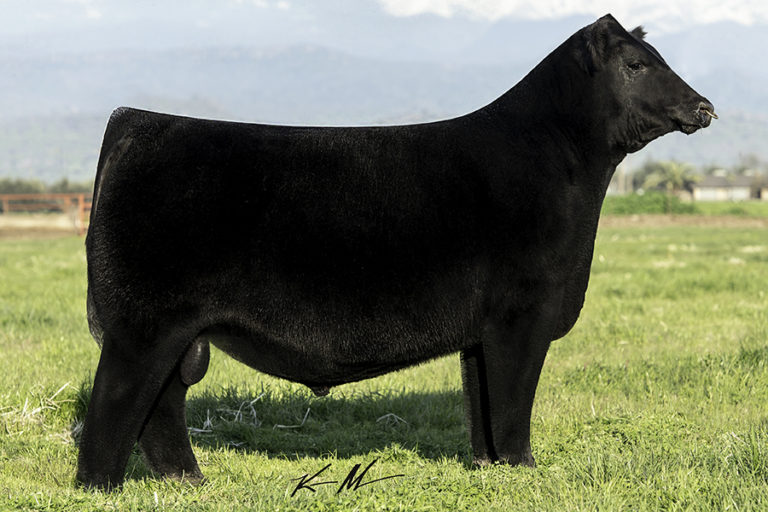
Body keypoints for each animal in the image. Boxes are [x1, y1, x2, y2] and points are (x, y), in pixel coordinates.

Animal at [76, 14, 715, 489]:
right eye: (636, 65)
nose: (704, 106)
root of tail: (133, 122)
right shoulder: (522, 316)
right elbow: (512, 401)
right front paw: (522, 469)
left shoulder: (481, 330)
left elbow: (481, 403)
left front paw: (488, 469)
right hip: (144, 324)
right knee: (117, 402)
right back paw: (101, 487)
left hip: (172, 331)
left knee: (162, 406)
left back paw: (188, 481)